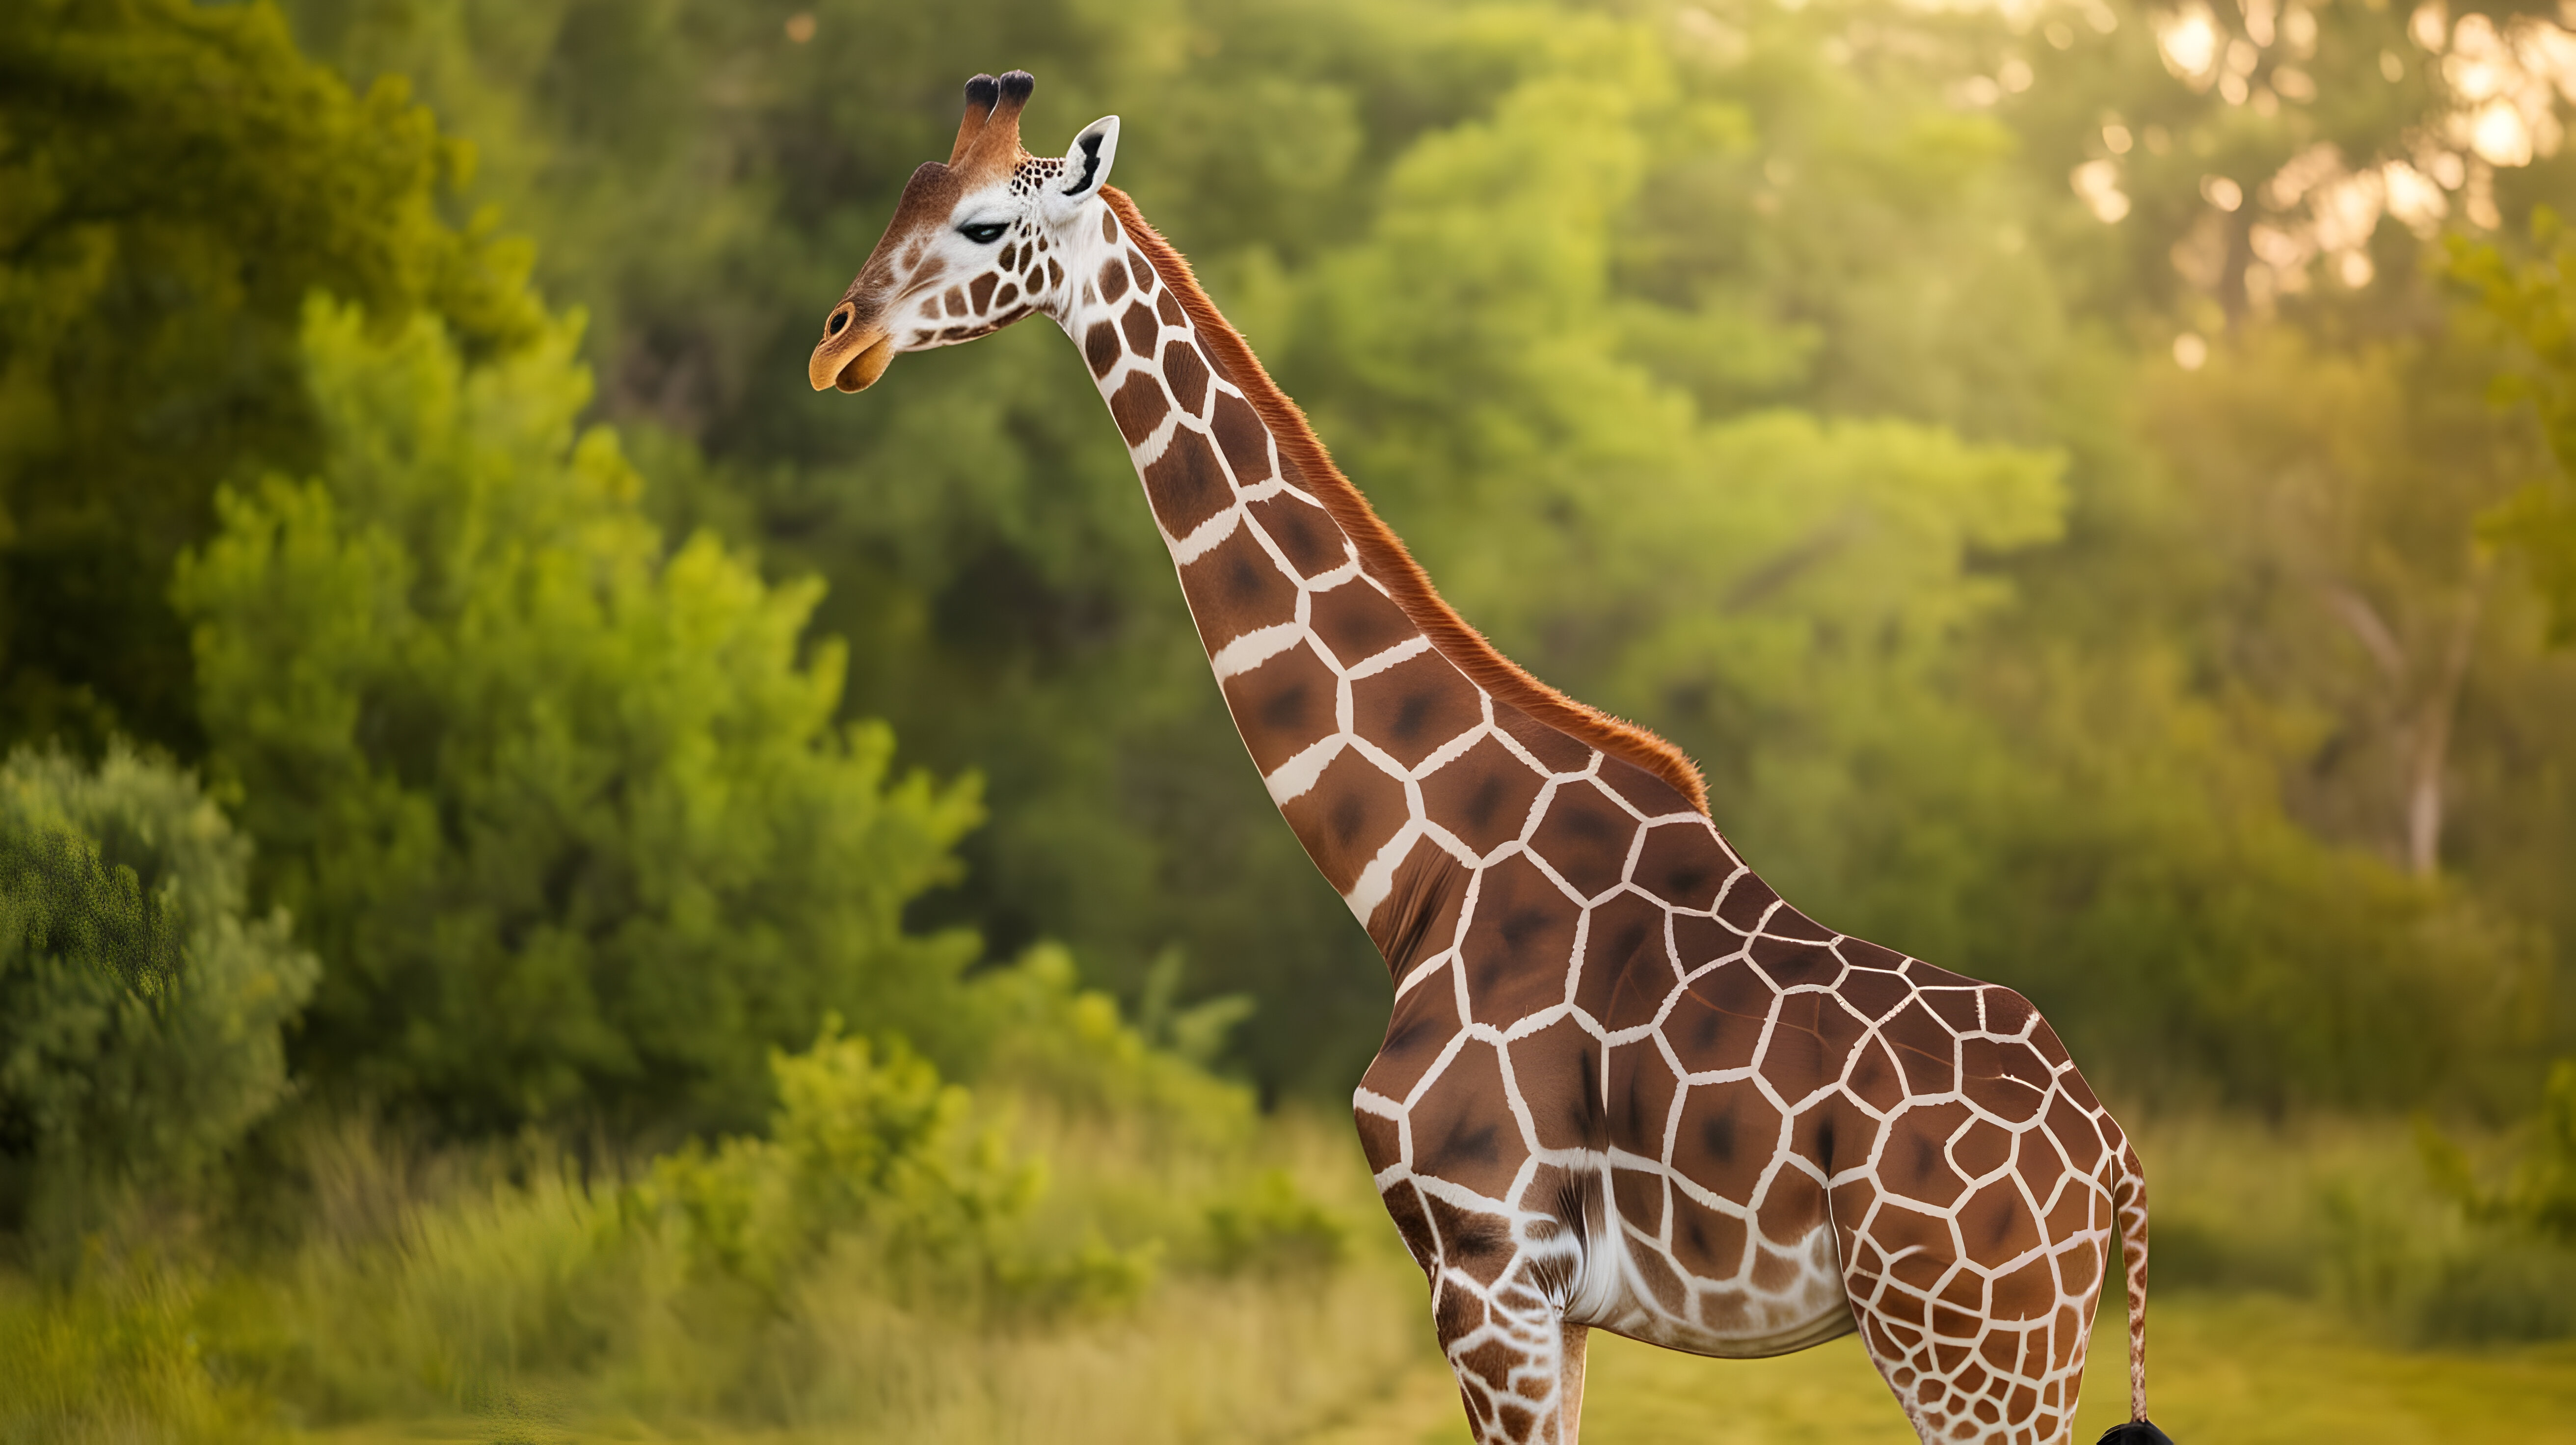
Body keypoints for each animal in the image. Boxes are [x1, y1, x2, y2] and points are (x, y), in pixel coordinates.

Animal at [807, 71, 2176, 1445]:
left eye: (985, 223)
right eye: (907, 197)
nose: (834, 343)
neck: (1423, 867)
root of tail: (2112, 1157)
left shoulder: (1486, 1258)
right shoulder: (1546, 1295)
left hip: (1970, 1344)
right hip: (2003, 1345)